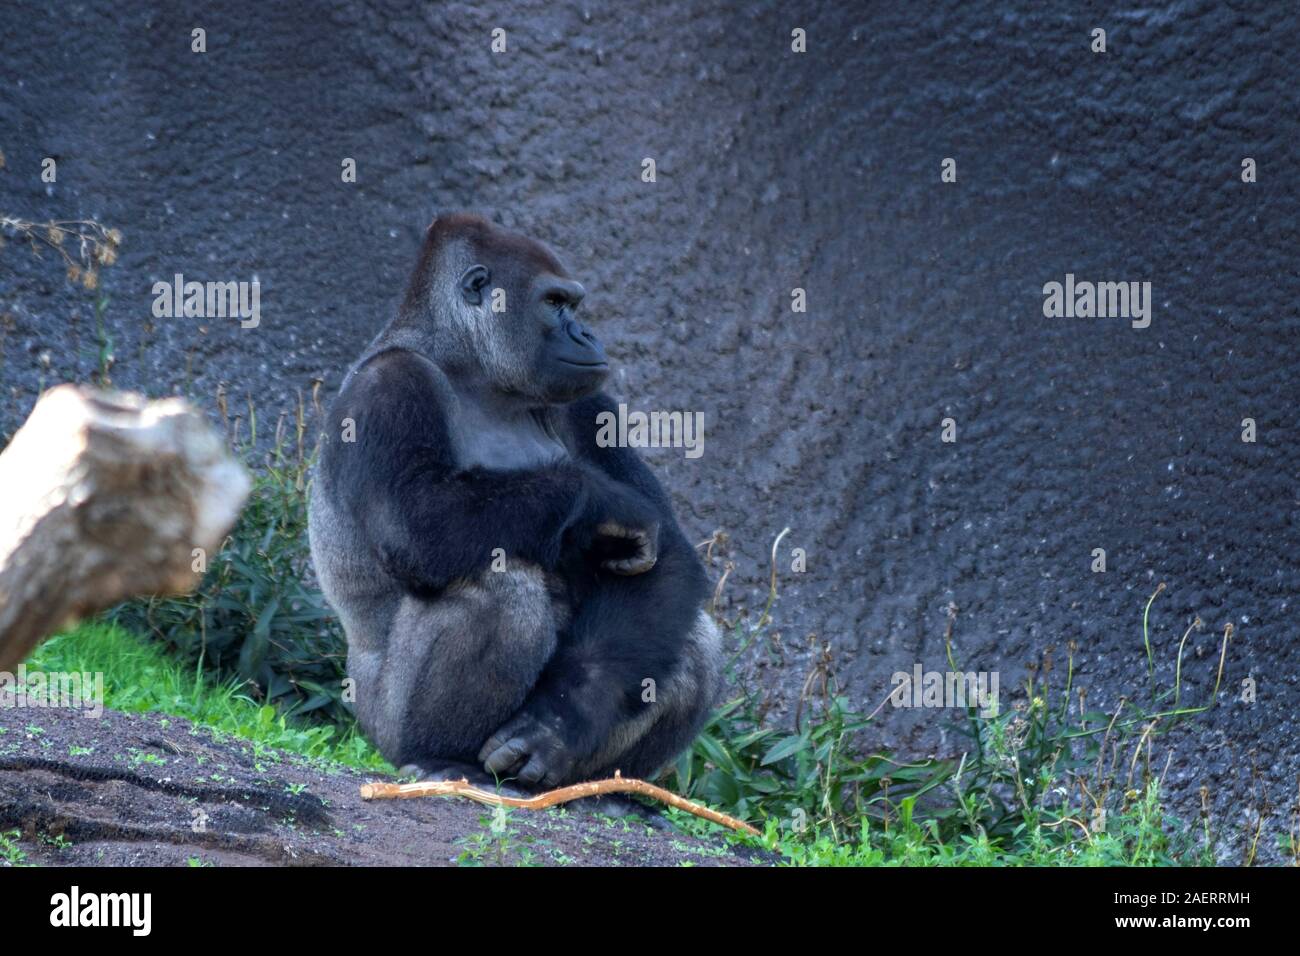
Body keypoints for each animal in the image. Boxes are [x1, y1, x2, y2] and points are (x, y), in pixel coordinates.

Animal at [307, 213, 722, 790]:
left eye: (574, 305)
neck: (469, 368)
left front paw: (559, 725)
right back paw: (440, 758)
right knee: (494, 581)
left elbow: (669, 562)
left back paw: (612, 789)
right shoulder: (387, 386)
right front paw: (602, 503)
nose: (588, 336)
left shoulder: (588, 405)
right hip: (380, 729)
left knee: (689, 639)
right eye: (554, 303)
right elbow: (420, 525)